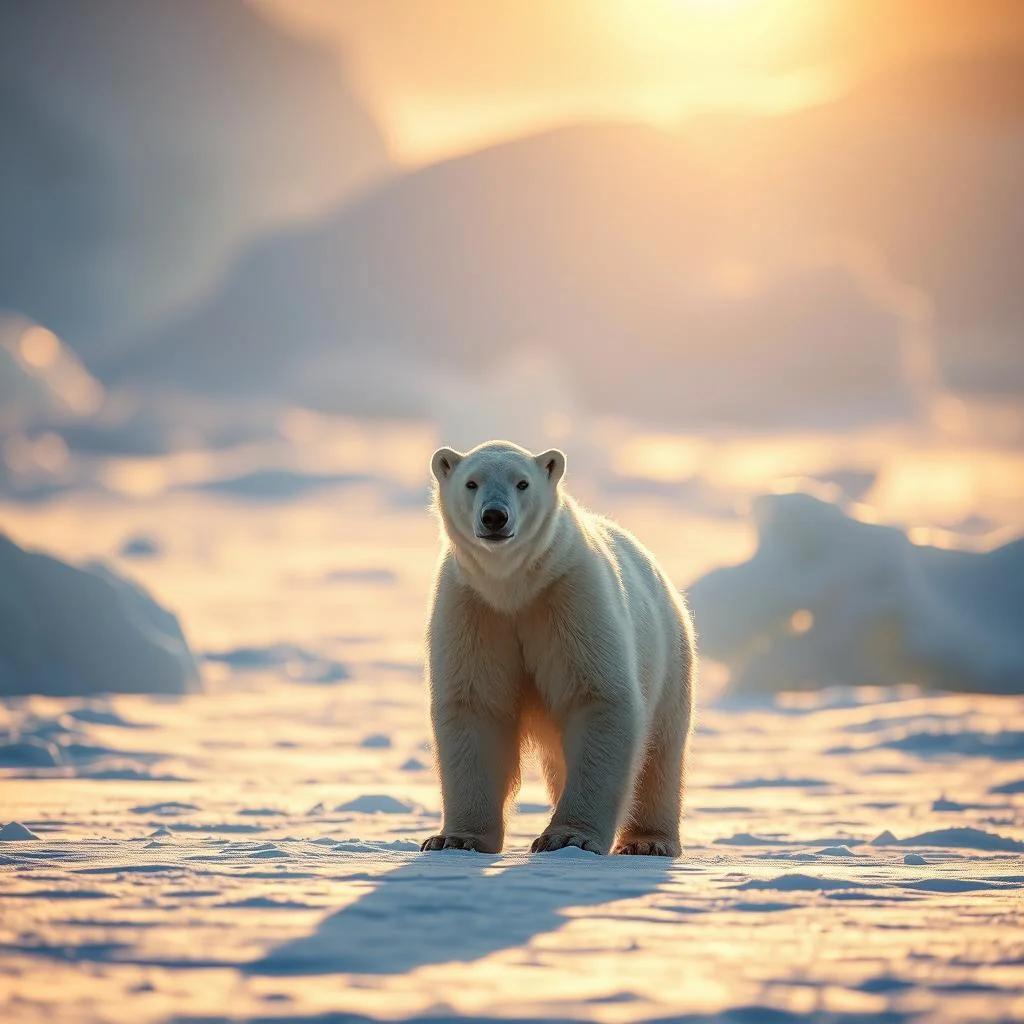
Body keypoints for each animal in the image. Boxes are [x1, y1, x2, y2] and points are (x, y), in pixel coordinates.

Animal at [421, 440, 697, 857]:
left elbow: (597, 696)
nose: (495, 517)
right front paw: (454, 839)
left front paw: (568, 837)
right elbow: (475, 706)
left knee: (660, 753)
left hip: (669, 658)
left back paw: (648, 842)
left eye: (522, 482)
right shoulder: (475, 608)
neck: (513, 586)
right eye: (471, 482)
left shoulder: (569, 595)